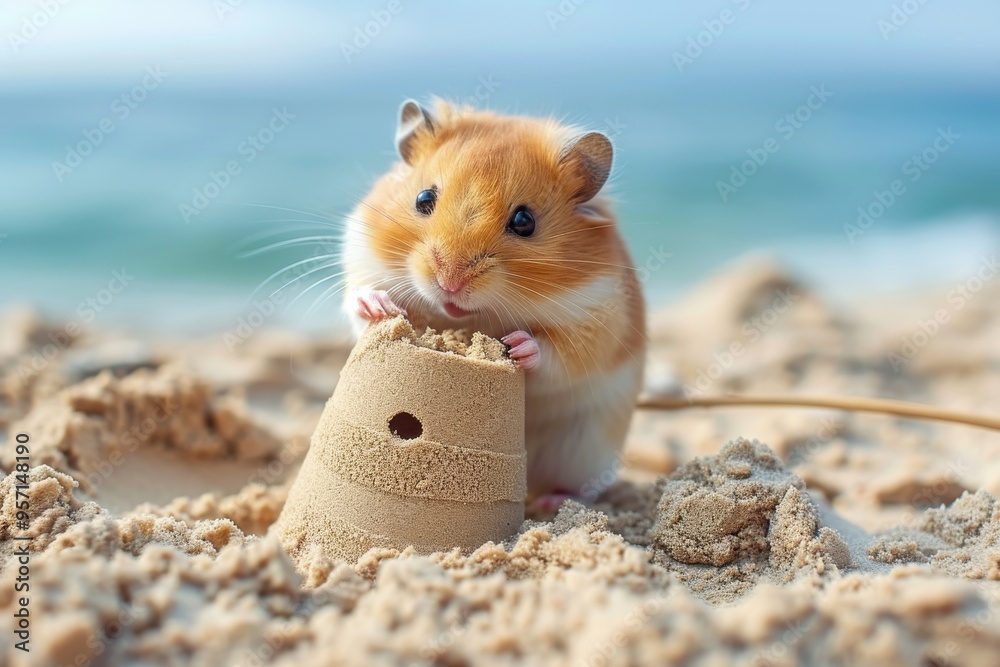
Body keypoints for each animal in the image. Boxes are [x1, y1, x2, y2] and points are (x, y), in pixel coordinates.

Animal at [341, 98, 646, 504]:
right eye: (423, 199)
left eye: (524, 221)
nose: (449, 283)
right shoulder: (361, 254)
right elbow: (360, 296)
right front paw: (377, 305)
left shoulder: (600, 315)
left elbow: (558, 355)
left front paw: (517, 346)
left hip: (585, 451)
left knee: (584, 490)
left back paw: (552, 501)